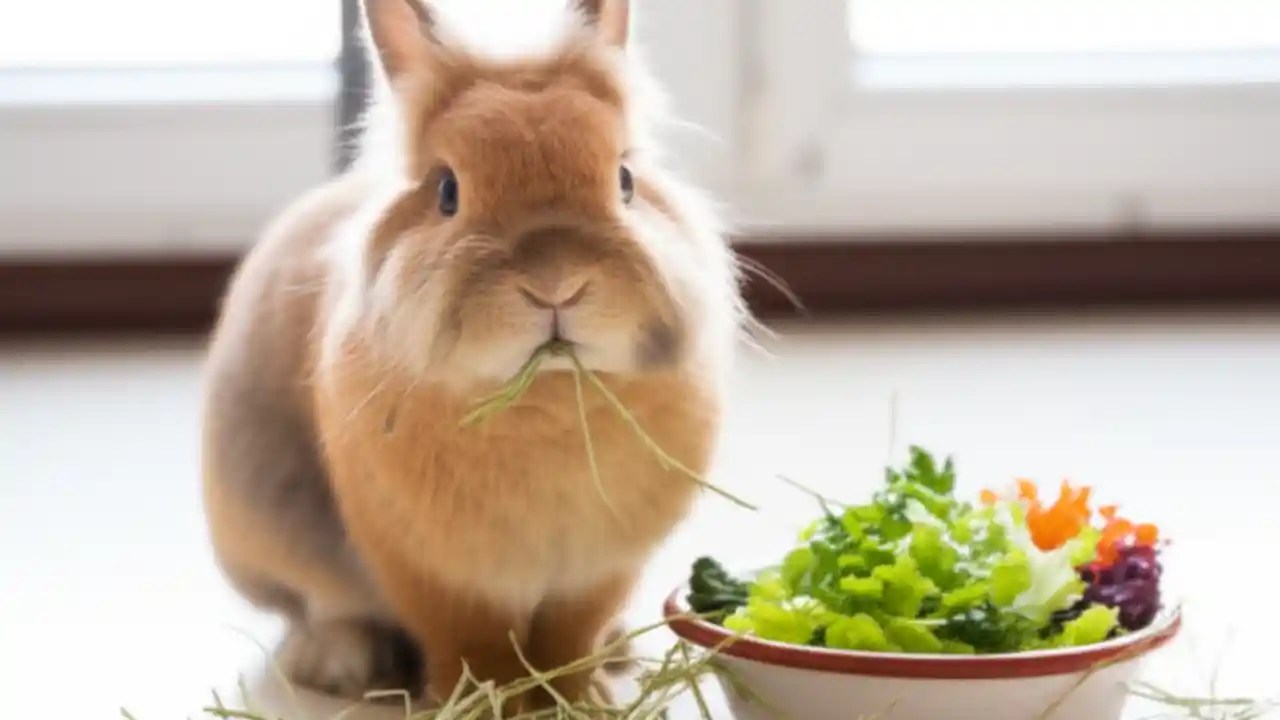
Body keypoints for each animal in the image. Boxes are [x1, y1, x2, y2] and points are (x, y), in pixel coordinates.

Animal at [202, 0, 741, 709]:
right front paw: (489, 701)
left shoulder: (600, 569)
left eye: (624, 180)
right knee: (318, 606)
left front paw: (583, 700)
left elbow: (571, 639)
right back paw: (344, 665)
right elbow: (471, 644)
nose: (556, 283)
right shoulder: (434, 571)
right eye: (447, 191)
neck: (546, 395)